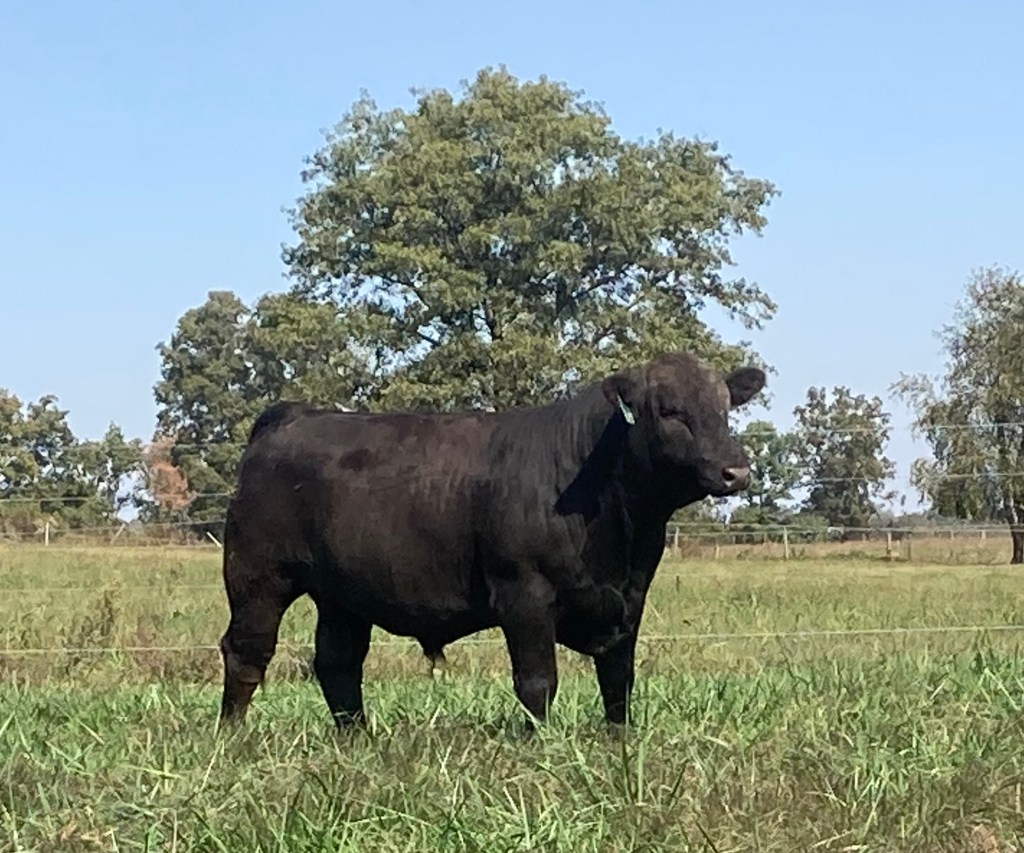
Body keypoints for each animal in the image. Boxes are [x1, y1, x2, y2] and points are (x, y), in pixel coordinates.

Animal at [217, 351, 765, 729]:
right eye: (670, 411)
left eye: (725, 407)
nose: (735, 470)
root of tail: (297, 415)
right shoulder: (525, 595)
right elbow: (538, 683)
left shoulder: (629, 599)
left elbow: (618, 680)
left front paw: (619, 742)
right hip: (257, 577)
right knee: (246, 653)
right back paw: (234, 739)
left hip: (342, 595)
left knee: (337, 664)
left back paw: (358, 740)